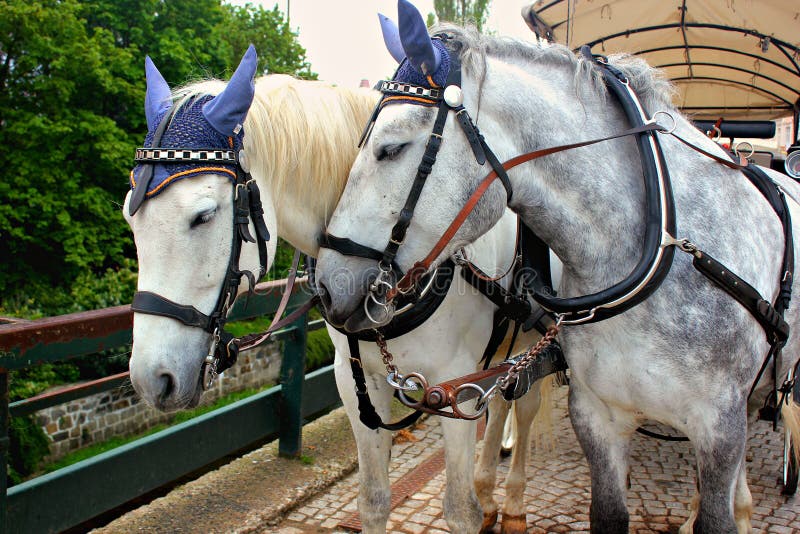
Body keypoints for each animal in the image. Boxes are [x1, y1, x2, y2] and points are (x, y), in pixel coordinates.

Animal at [123, 46, 557, 533]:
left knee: (524, 406)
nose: (150, 379)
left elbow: (459, 512)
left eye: (203, 215)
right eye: (129, 217)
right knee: (502, 403)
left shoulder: (457, 383)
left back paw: (514, 504)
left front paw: (480, 504)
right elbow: (373, 500)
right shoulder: (356, 381)